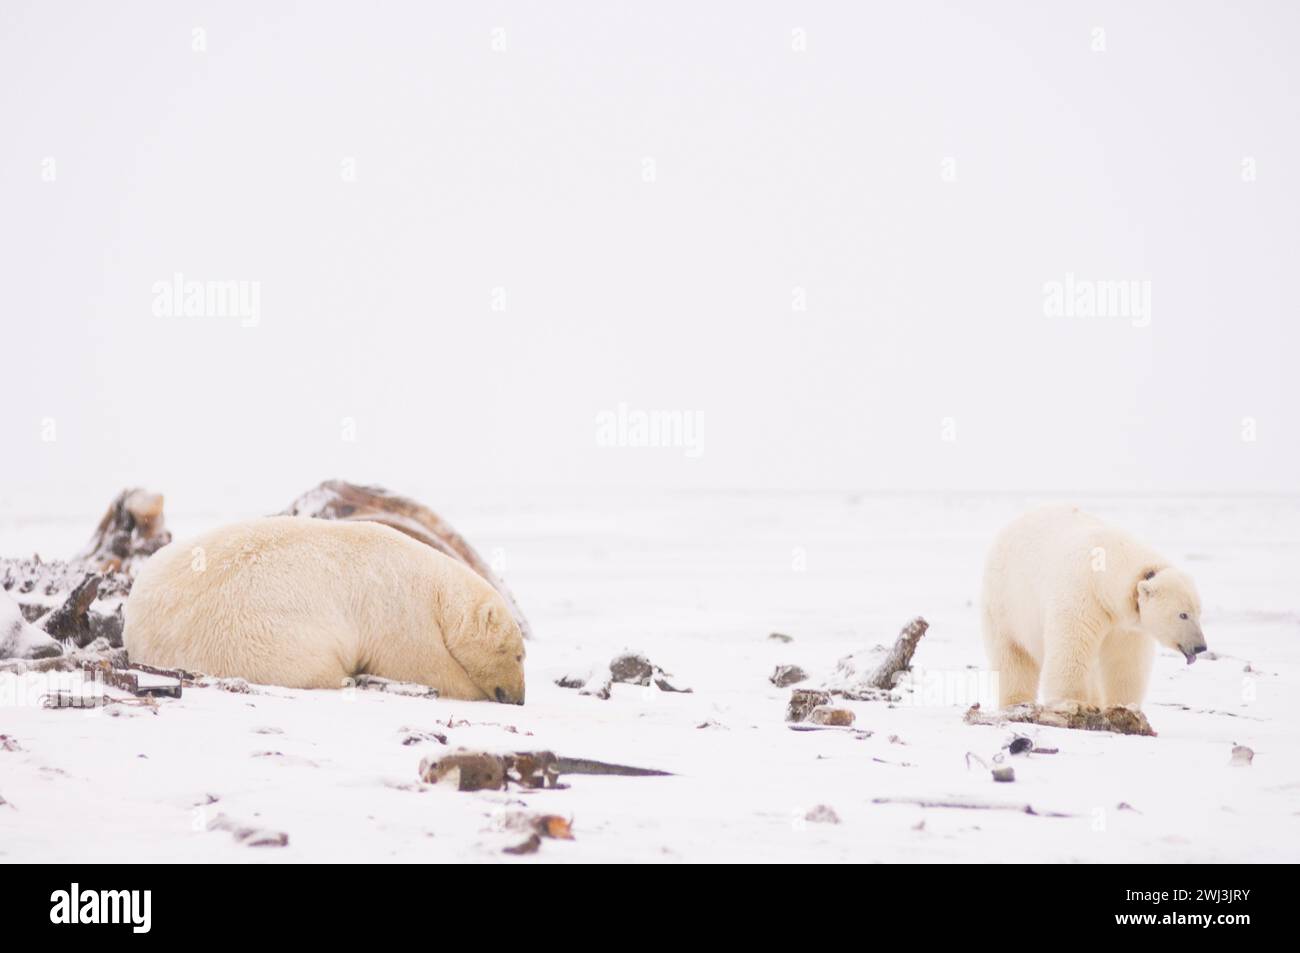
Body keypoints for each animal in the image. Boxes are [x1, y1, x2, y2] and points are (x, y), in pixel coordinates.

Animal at [123, 516, 525, 702]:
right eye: (518, 654)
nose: (519, 699)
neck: (436, 588)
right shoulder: (400, 609)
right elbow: (421, 662)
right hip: (257, 635)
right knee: (309, 663)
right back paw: (349, 679)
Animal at [980, 504, 1207, 708]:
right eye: (1183, 614)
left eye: (1198, 613)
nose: (1201, 646)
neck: (1103, 575)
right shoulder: (1084, 596)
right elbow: (1072, 647)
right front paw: (1072, 702)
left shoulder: (1125, 623)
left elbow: (1126, 661)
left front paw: (1123, 705)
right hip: (1006, 601)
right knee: (1013, 655)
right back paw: (1017, 701)